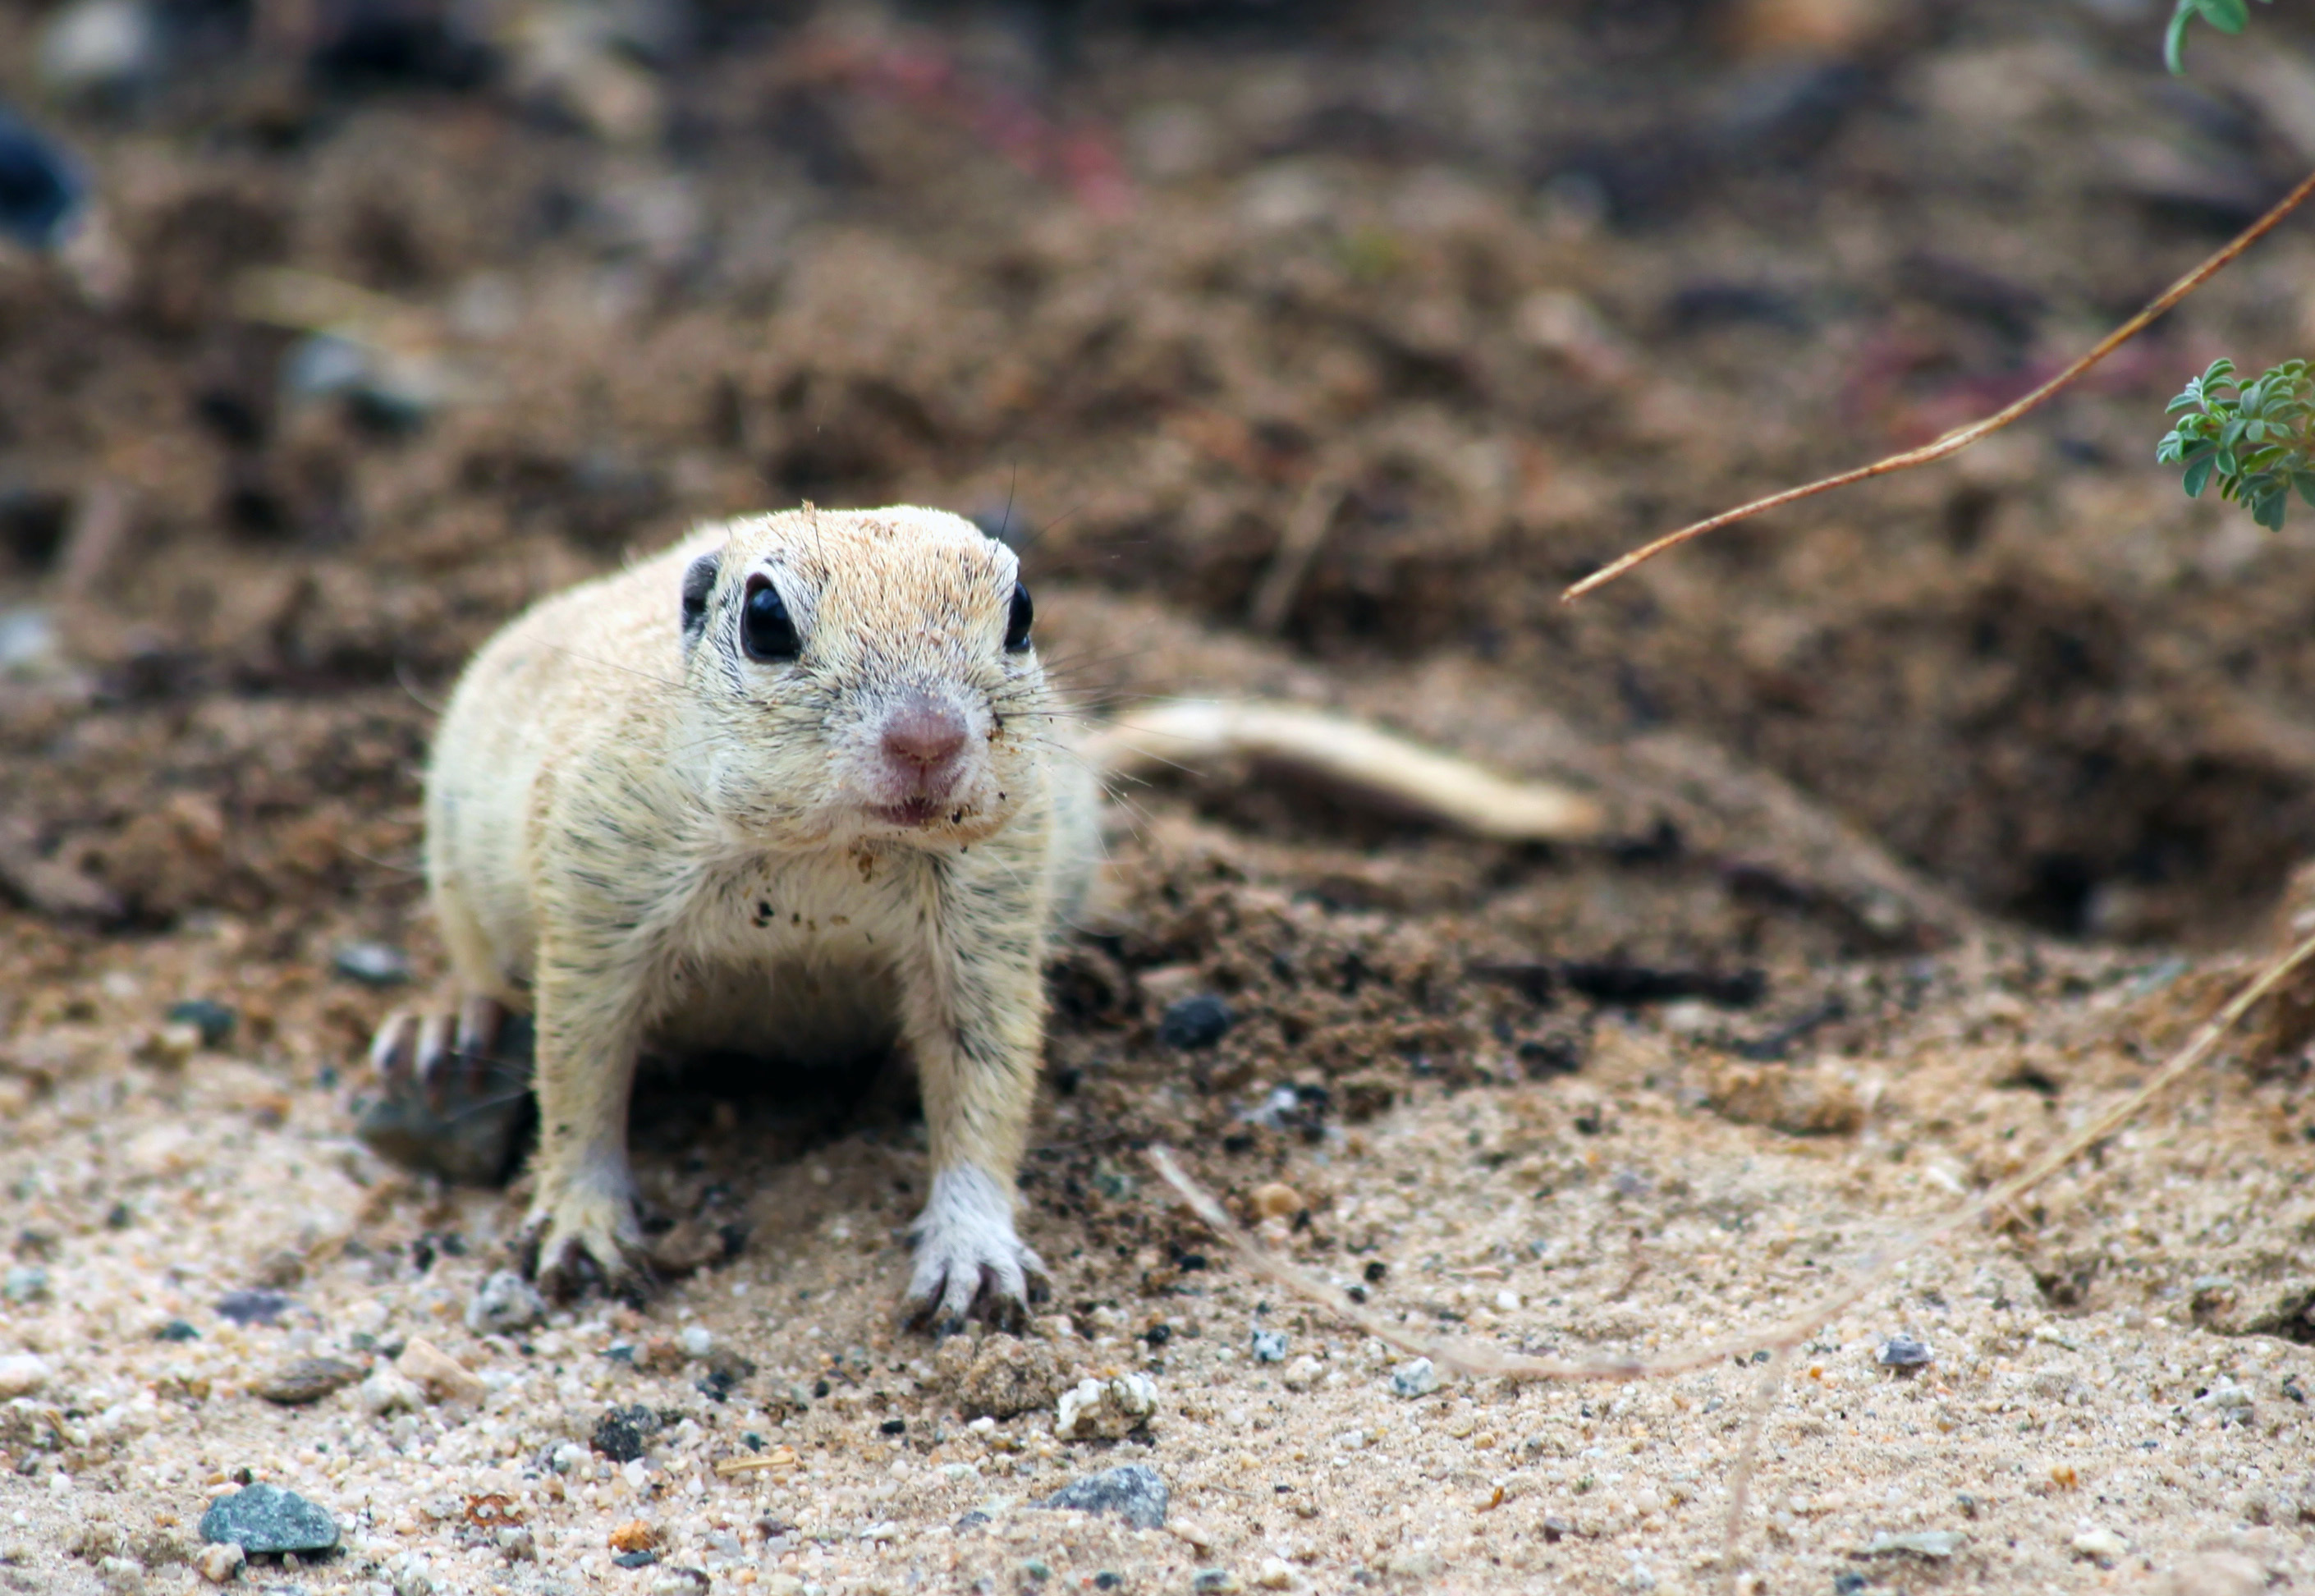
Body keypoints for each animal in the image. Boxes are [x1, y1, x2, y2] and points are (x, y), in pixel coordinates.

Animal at [364, 505, 1602, 1330]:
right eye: (763, 619)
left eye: (1023, 612)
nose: (929, 740)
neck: (830, 855)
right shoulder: (600, 881)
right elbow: (581, 1061)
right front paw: (580, 1223)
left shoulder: (991, 918)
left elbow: (987, 1083)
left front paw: (974, 1254)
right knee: (480, 968)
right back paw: (443, 1024)